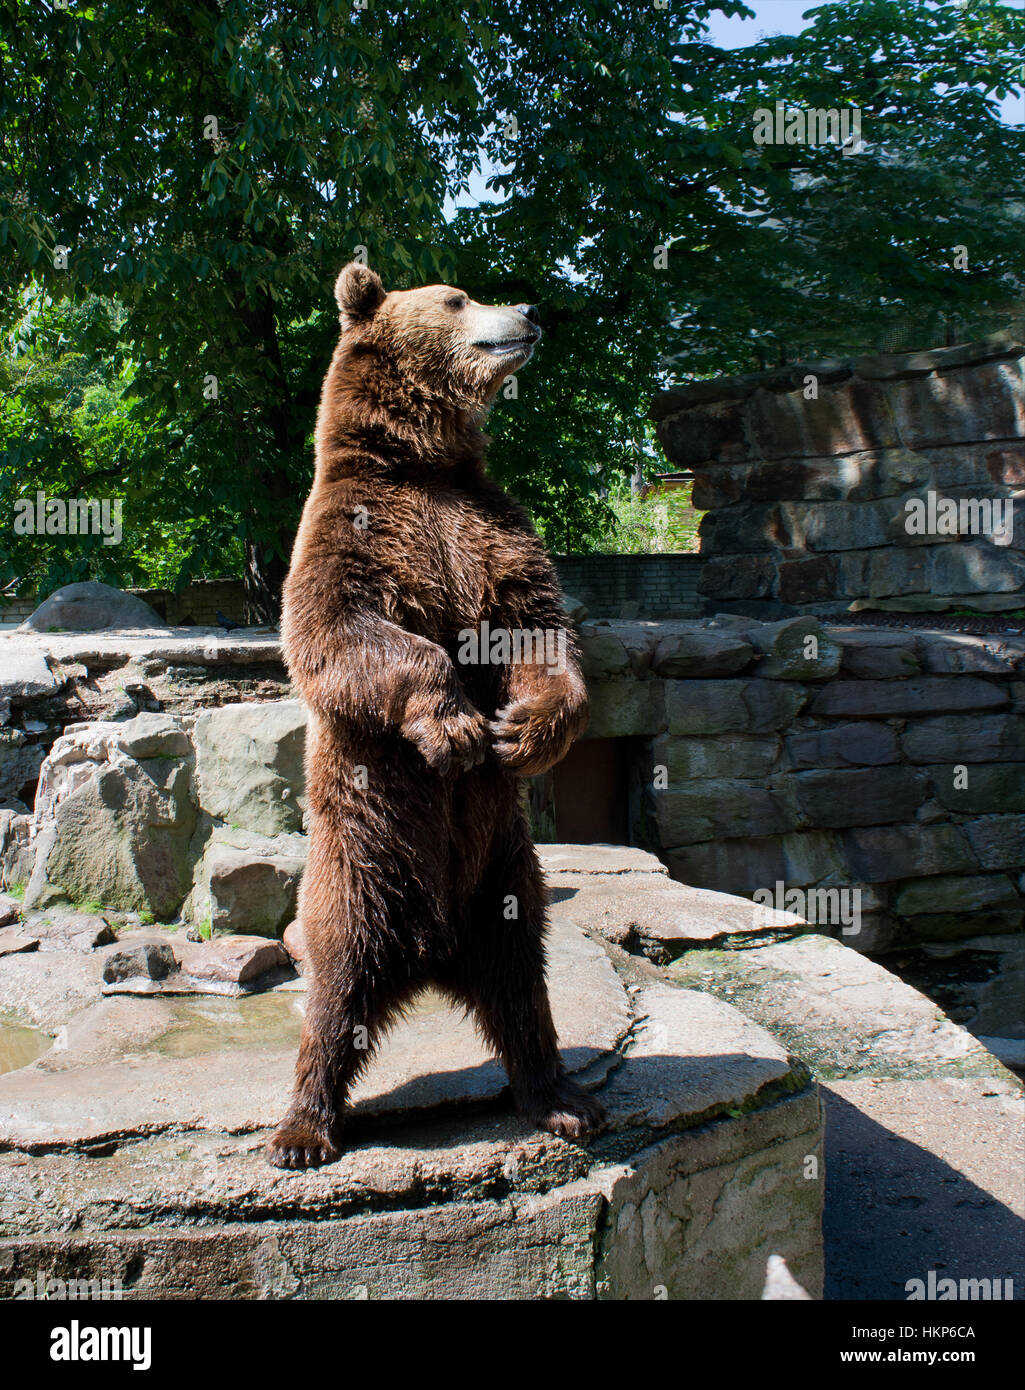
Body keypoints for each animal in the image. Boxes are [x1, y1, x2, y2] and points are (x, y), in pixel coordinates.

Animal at [267, 262, 607, 1168]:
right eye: (456, 299)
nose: (528, 308)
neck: (420, 463)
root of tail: (428, 958)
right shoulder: (353, 532)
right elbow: (340, 631)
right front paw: (453, 726)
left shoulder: (494, 531)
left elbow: (539, 629)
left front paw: (523, 731)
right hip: (358, 867)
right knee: (333, 994)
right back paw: (303, 1128)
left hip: (505, 878)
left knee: (522, 987)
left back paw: (560, 1099)